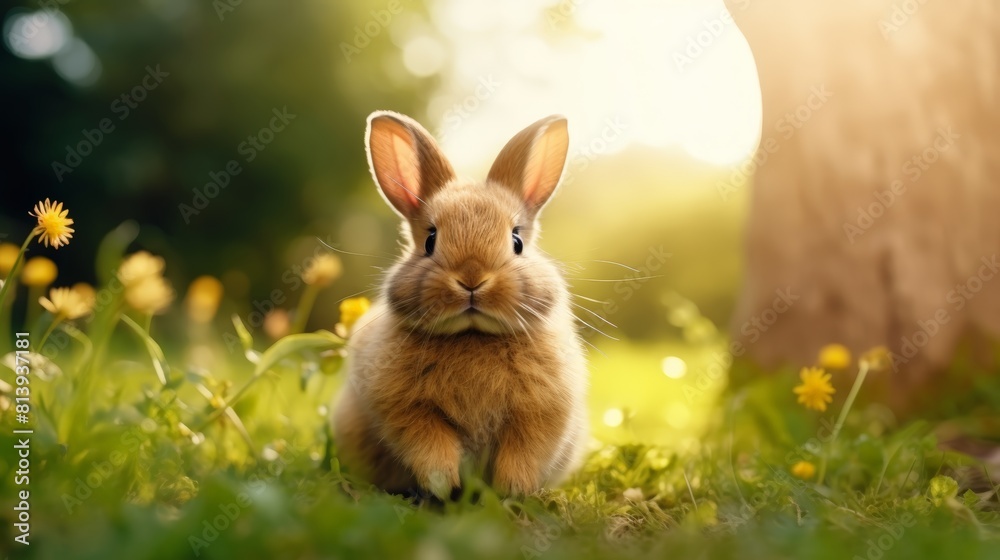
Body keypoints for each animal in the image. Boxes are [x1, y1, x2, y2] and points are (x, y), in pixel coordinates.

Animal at [331, 110, 589, 498]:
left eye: (516, 241)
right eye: (430, 240)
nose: (472, 278)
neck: (473, 335)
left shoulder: (541, 412)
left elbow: (525, 452)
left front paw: (512, 490)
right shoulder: (406, 410)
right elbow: (428, 445)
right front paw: (445, 485)